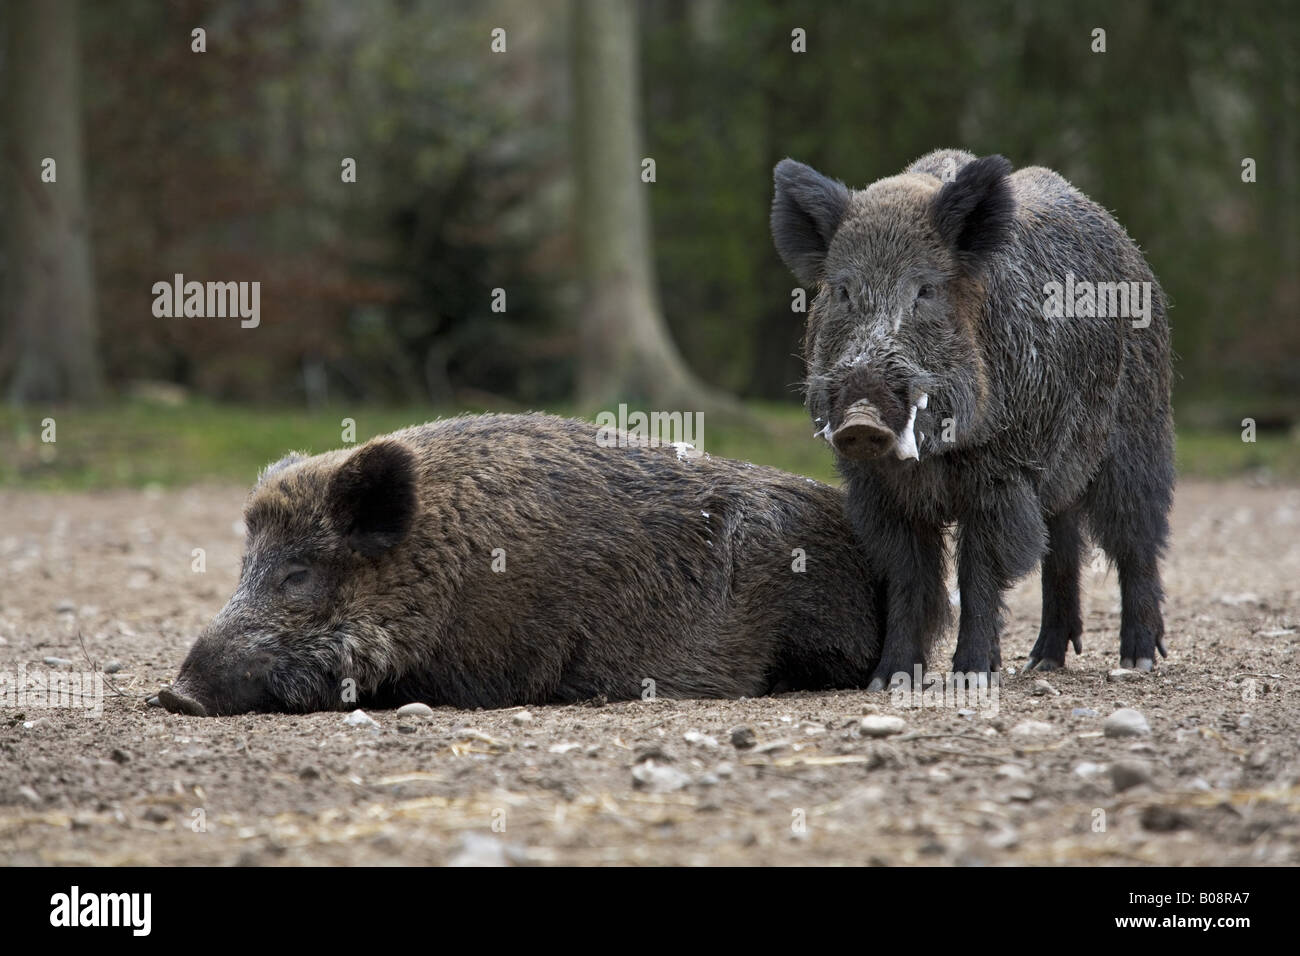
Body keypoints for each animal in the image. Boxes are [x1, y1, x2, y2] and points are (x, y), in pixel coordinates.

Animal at [771, 148, 1173, 687]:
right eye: (843, 291)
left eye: (925, 290)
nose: (862, 416)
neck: (933, 456)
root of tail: (1132, 251)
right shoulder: (880, 493)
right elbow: (909, 578)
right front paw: (889, 679)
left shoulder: (1002, 472)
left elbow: (979, 570)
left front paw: (973, 675)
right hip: (1060, 471)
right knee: (1062, 545)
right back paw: (1042, 661)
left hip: (1138, 433)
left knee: (1136, 537)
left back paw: (1137, 660)